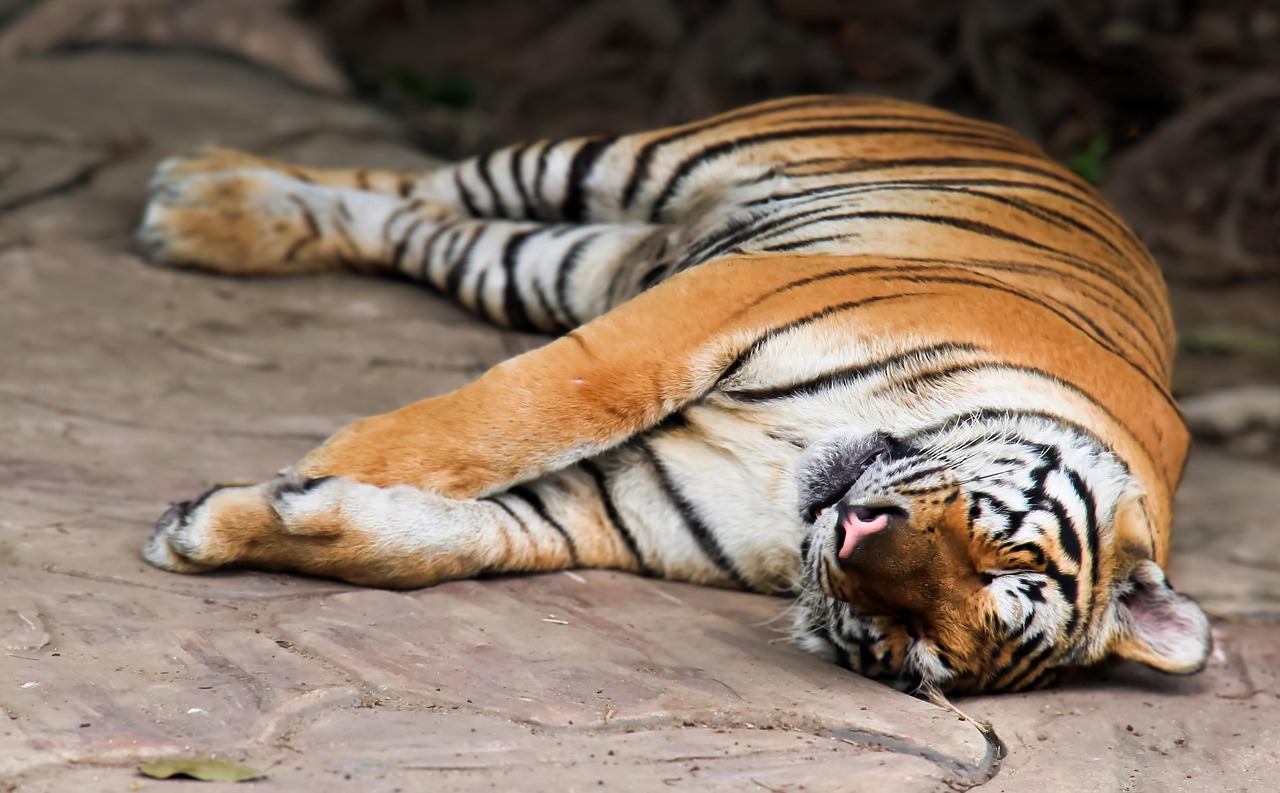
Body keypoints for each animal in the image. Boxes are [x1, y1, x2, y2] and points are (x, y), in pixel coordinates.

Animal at [137, 95, 1210, 695]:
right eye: (1004, 556)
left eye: (914, 648)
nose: (853, 537)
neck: (788, 484)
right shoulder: (716, 303)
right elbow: (544, 400)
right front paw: (330, 463)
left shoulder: (609, 507)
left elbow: (442, 542)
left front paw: (231, 522)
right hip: (621, 162)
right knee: (417, 179)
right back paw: (199, 187)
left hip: (549, 267)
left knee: (417, 226)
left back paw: (215, 216)